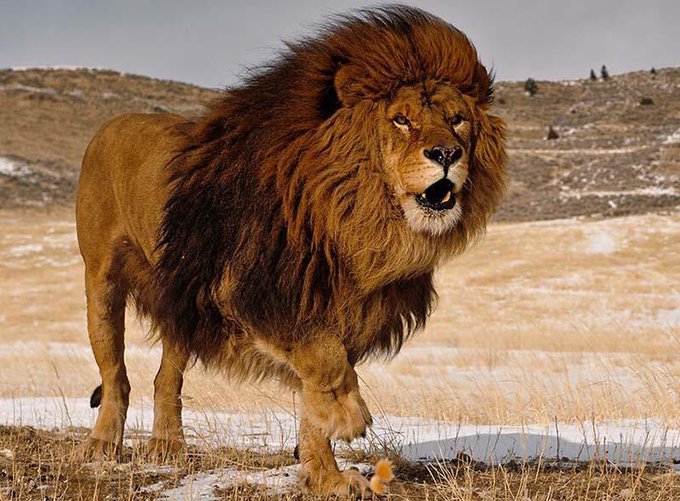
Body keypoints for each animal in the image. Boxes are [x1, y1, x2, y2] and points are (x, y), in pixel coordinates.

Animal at [75, 6, 506, 497]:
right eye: (401, 120)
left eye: (457, 120)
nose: (447, 154)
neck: (349, 217)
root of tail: (112, 123)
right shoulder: (250, 292)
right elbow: (327, 364)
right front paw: (348, 417)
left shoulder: (335, 307)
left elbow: (314, 392)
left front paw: (327, 477)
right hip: (103, 284)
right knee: (115, 376)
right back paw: (102, 446)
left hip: (181, 304)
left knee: (167, 377)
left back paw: (168, 448)